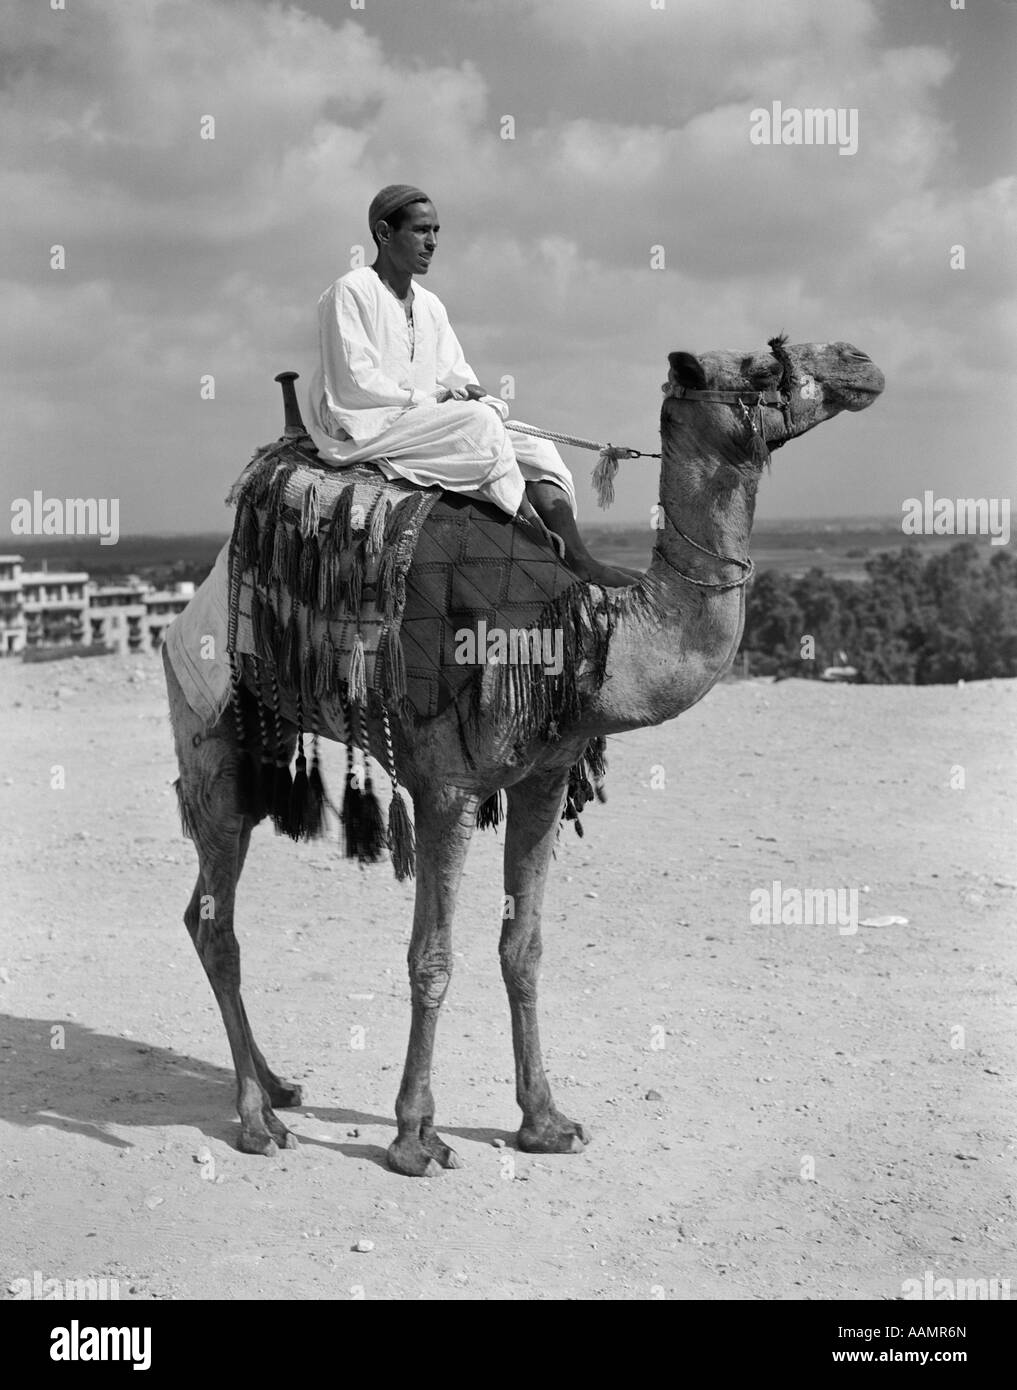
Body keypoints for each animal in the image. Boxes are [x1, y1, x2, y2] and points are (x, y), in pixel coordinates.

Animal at [164, 333, 883, 1173]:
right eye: (765, 362)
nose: (857, 360)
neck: (586, 631)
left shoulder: (545, 776)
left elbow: (523, 948)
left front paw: (544, 1121)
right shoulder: (445, 786)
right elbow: (432, 956)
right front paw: (415, 1136)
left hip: (261, 744)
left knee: (202, 911)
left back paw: (278, 1086)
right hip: (209, 728)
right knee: (217, 922)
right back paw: (254, 1119)